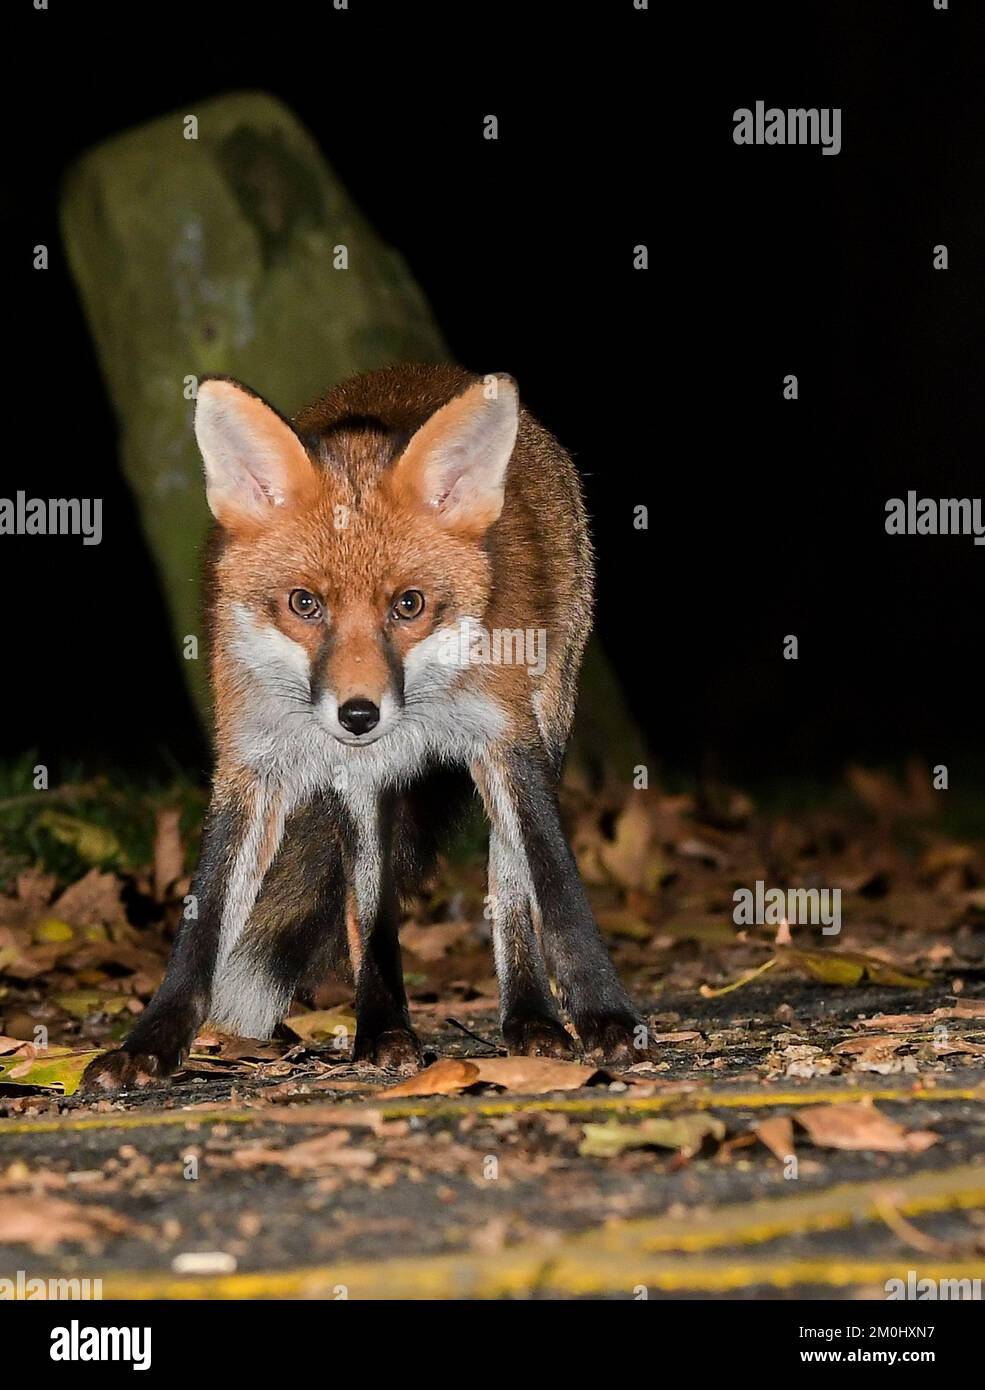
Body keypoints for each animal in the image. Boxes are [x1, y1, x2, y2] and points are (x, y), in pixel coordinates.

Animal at [83, 364, 651, 1092]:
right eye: (304, 603)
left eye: (408, 605)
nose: (359, 714)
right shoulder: (253, 762)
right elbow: (204, 923)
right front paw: (150, 1043)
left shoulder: (505, 740)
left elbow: (556, 890)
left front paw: (605, 1017)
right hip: (361, 788)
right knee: (366, 909)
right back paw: (382, 1028)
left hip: (543, 721)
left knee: (507, 886)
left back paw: (528, 1017)